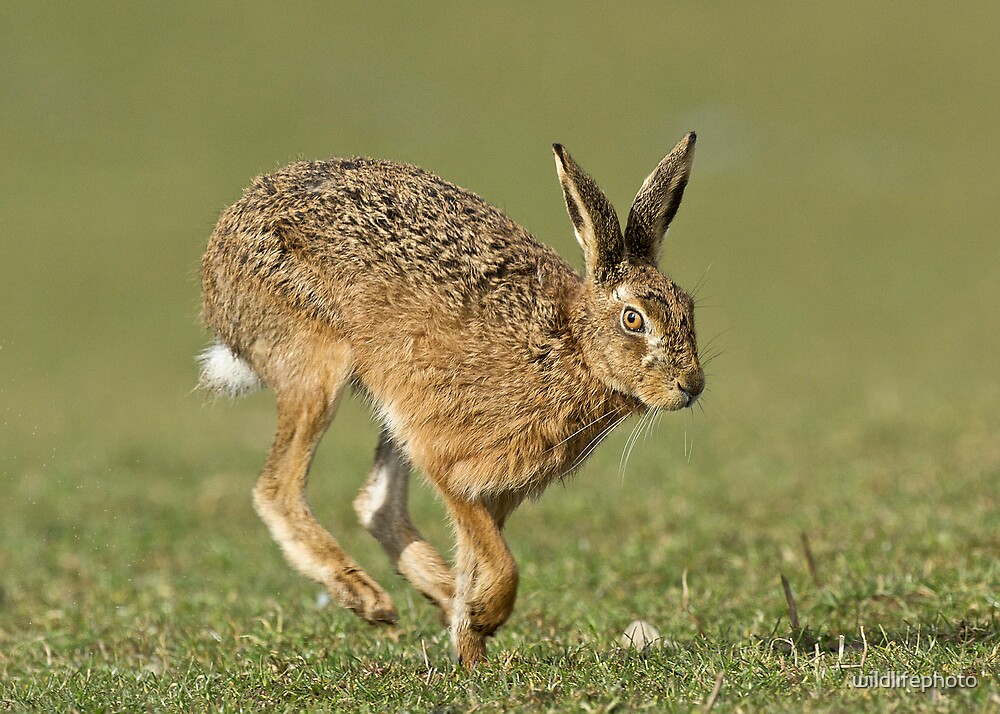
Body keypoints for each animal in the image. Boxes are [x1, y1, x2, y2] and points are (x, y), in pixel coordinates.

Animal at [199, 132, 705, 666]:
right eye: (633, 319)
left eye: (688, 308)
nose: (691, 385)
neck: (571, 344)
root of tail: (224, 240)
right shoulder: (450, 465)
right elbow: (500, 562)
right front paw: (484, 620)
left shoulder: (494, 492)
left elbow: (475, 557)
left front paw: (472, 653)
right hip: (318, 366)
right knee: (279, 489)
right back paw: (369, 598)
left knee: (376, 504)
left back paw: (440, 598)